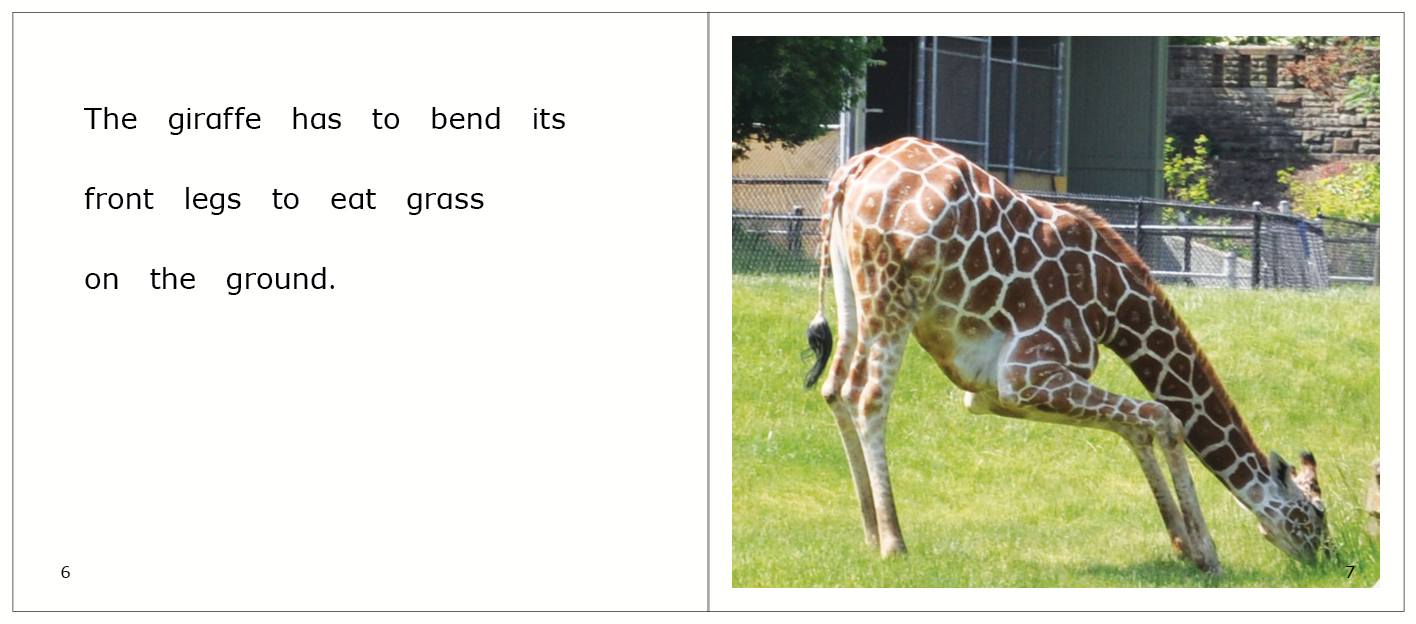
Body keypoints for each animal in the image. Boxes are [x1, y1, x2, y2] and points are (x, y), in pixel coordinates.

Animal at [803, 137, 1328, 573]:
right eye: (1314, 513)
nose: (1327, 556)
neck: (1115, 305)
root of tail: (855, 169)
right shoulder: (1029, 373)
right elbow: (1164, 418)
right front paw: (1205, 553)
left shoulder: (994, 393)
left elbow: (1133, 426)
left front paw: (1182, 546)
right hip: (893, 294)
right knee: (868, 396)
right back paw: (893, 541)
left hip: (851, 287)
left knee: (835, 388)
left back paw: (869, 533)